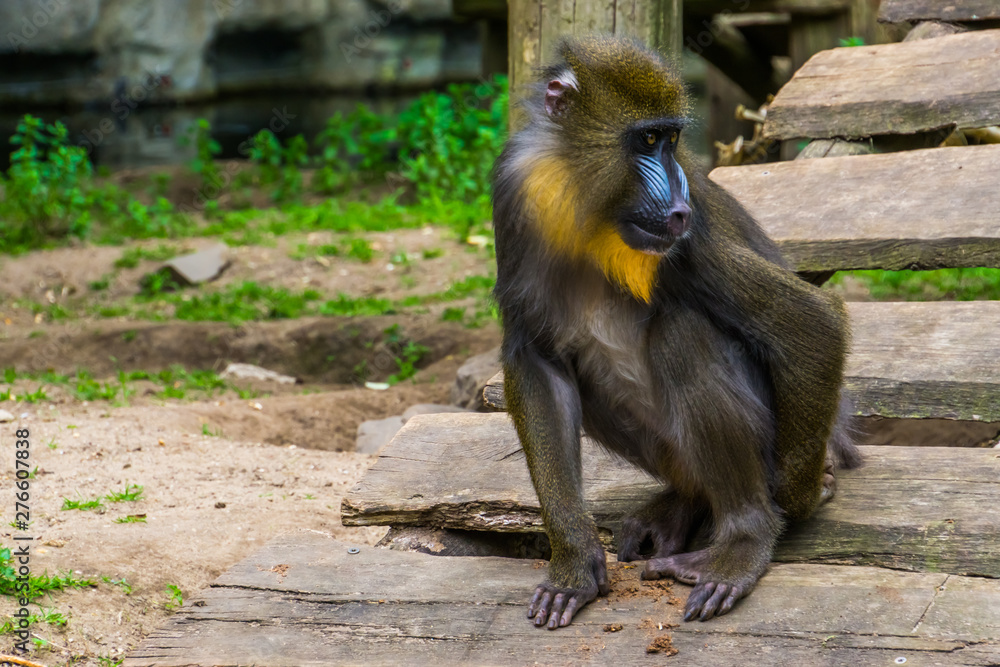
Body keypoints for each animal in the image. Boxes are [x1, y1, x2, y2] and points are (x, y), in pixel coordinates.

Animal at [491, 35, 860, 629]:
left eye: (670, 141)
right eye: (646, 139)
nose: (678, 205)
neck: (587, 202)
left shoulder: (689, 243)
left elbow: (811, 321)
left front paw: (800, 502)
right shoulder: (515, 193)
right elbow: (539, 362)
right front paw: (573, 562)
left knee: (684, 334)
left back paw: (743, 541)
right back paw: (683, 503)